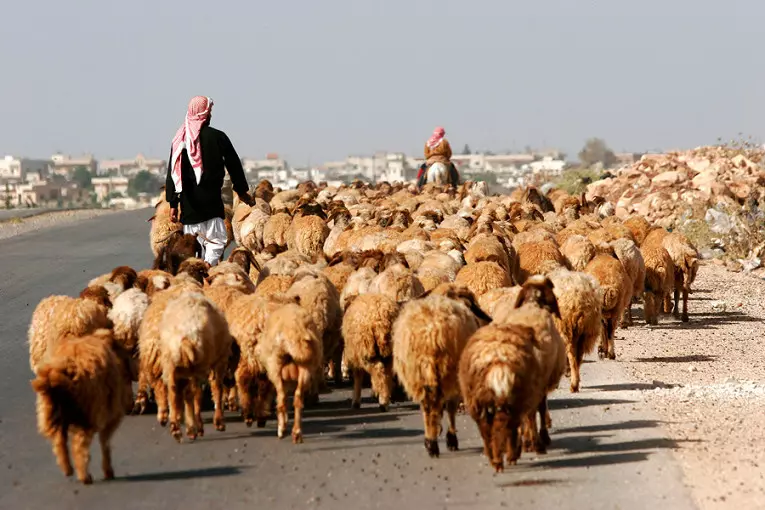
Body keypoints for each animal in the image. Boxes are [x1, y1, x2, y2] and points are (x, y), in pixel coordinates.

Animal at [30, 328, 136, 484]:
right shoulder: (110, 416)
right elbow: (105, 443)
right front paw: (108, 471)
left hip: (51, 411)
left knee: (59, 441)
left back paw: (67, 469)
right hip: (87, 413)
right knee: (79, 447)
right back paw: (84, 476)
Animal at [254, 302, 320, 442]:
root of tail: (296, 331)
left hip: (275, 365)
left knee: (281, 398)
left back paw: (281, 430)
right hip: (306, 367)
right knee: (298, 398)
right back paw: (297, 433)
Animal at [390, 290, 480, 458]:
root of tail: (430, 334)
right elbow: (451, 408)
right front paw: (450, 439)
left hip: (421, 375)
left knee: (428, 405)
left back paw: (431, 442)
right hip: (446, 374)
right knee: (436, 405)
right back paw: (435, 442)